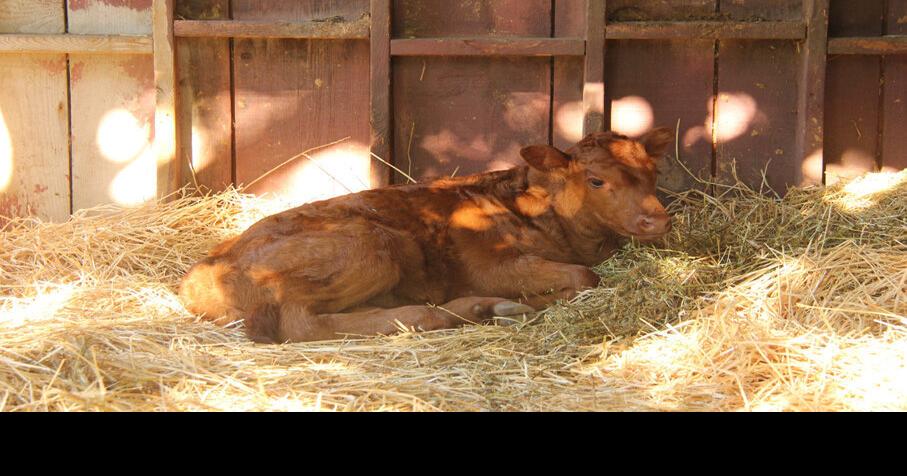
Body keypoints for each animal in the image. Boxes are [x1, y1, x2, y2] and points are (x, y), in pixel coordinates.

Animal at [179, 128, 674, 343]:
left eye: (653, 170)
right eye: (596, 180)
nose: (658, 221)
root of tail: (198, 275)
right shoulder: (491, 263)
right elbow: (585, 276)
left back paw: (484, 309)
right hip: (371, 247)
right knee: (298, 322)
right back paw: (436, 315)